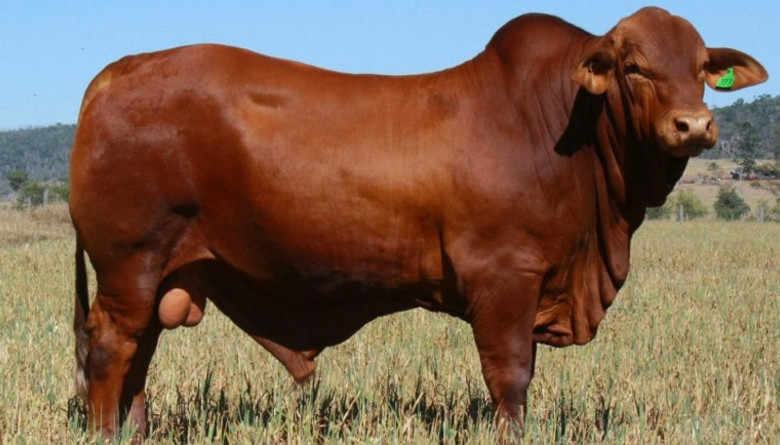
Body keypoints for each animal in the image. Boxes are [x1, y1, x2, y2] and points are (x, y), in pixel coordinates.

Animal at [69, 6, 766, 439]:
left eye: (703, 69)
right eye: (633, 66)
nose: (694, 125)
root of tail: (117, 71)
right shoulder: (504, 278)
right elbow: (510, 378)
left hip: (163, 273)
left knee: (140, 358)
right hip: (130, 264)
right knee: (110, 350)